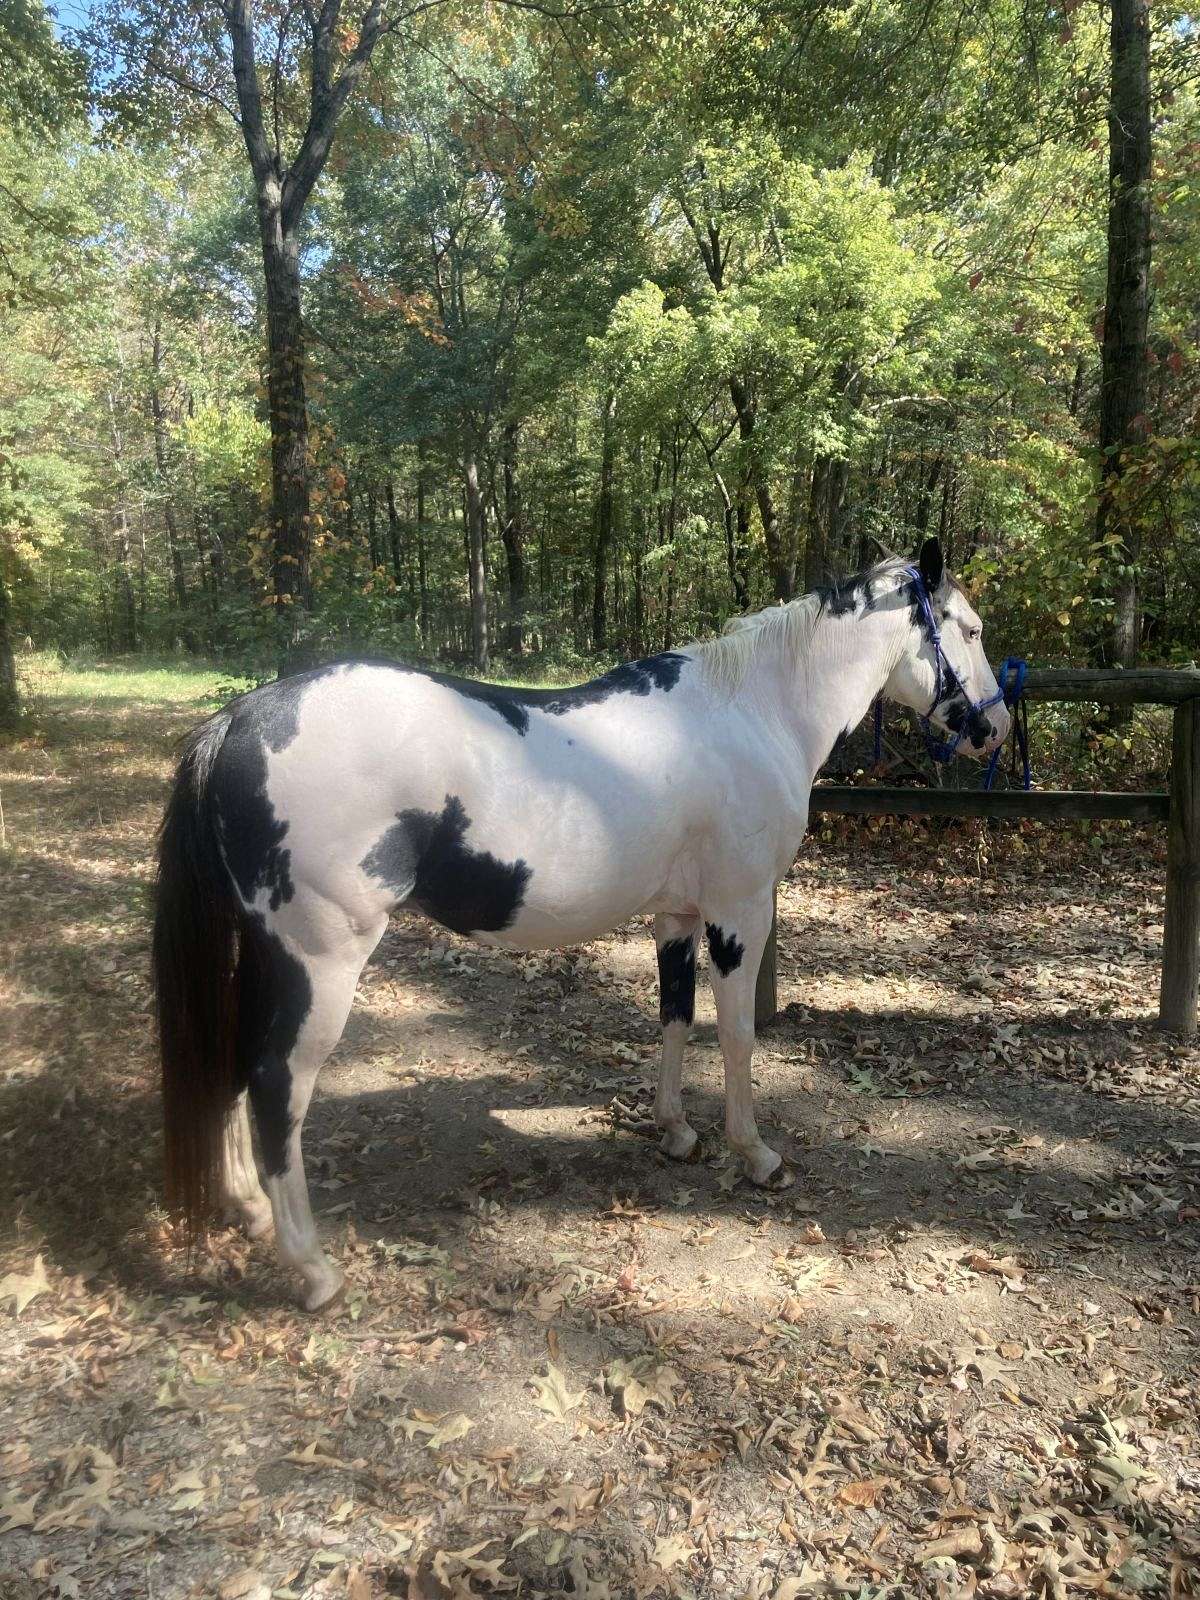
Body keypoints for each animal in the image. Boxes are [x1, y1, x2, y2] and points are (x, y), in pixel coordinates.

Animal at [153, 537, 1010, 1309]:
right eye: (969, 630)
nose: (994, 728)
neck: (755, 711)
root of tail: (237, 722)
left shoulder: (677, 915)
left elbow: (675, 1019)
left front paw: (676, 1133)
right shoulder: (739, 912)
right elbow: (736, 1036)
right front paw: (756, 1154)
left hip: (263, 953)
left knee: (230, 1062)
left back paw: (249, 1210)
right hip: (321, 960)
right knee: (276, 1085)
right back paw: (313, 1271)